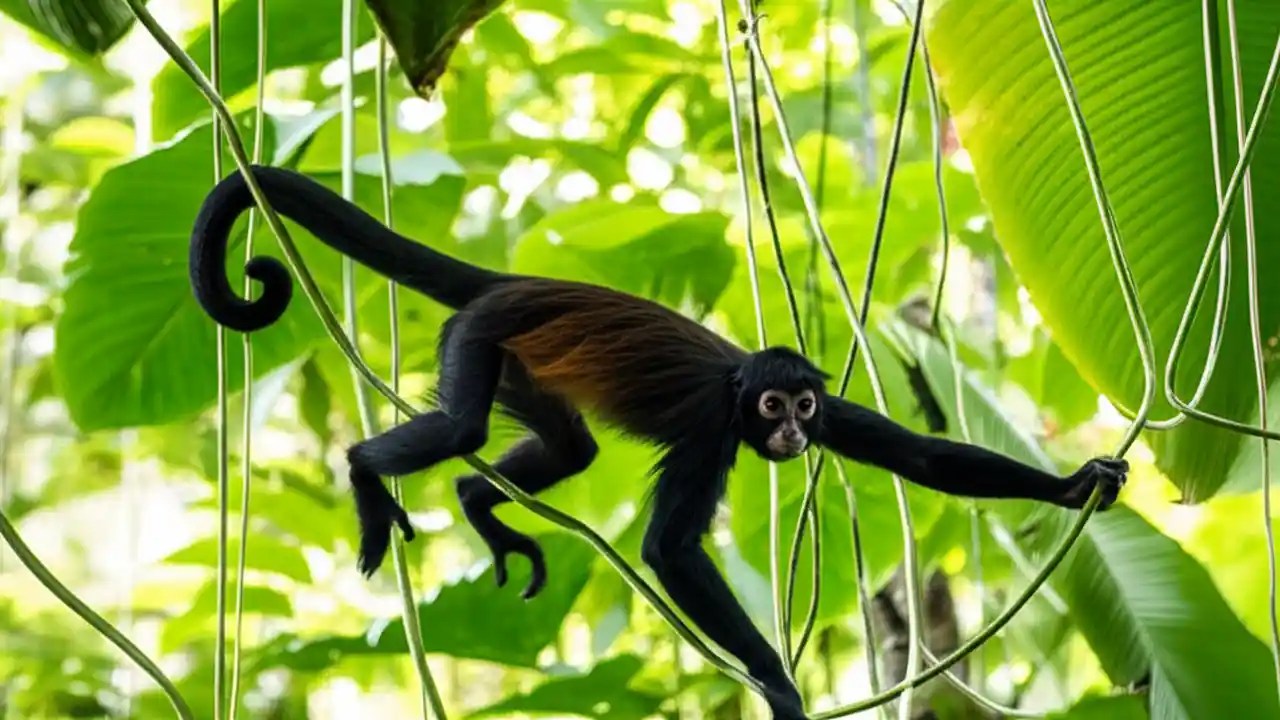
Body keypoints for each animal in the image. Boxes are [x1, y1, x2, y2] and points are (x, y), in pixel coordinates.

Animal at [189, 165, 1127, 720]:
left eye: (804, 405)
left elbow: (927, 459)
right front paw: (778, 684)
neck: (743, 388)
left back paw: (478, 502)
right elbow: (670, 548)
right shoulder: (715, 427)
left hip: (512, 357)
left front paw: (1078, 484)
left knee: (565, 450)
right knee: (462, 429)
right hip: (479, 333)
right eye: (772, 406)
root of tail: (513, 282)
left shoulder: (836, 409)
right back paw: (361, 472)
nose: (792, 430)